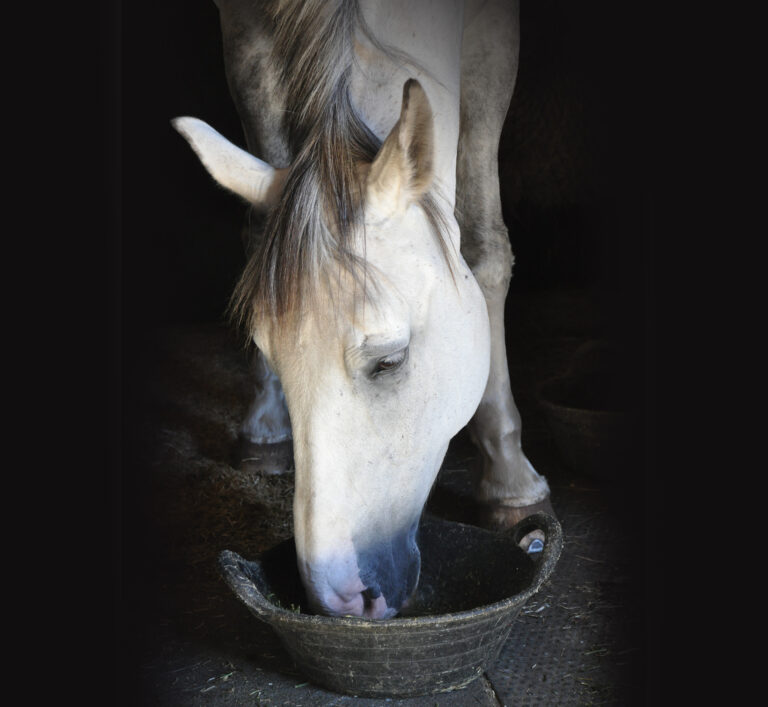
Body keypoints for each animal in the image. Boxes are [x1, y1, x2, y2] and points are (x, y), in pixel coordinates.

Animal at [173, 0, 552, 619]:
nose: (345, 599)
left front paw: (511, 479)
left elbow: (484, 247)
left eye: (389, 362)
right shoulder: (244, 28)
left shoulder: (494, 36)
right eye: (266, 351)